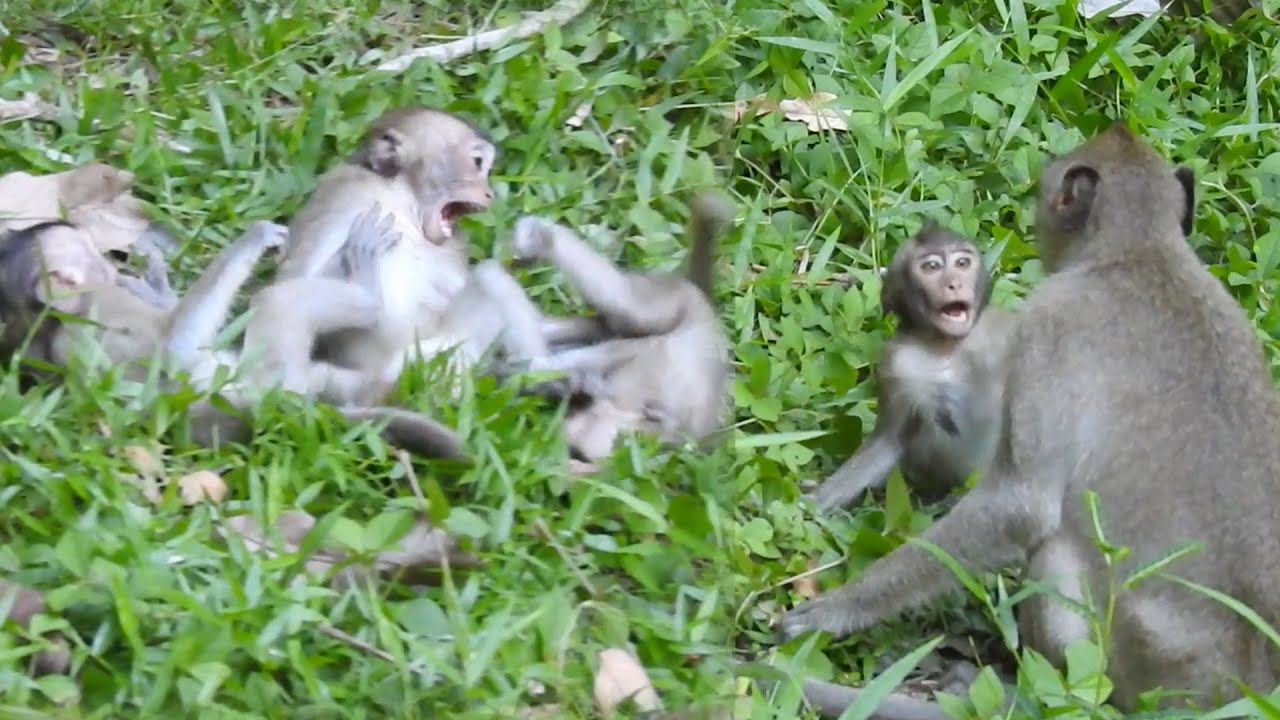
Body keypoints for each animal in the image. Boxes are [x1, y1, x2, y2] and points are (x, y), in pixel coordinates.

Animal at [490, 189, 736, 461]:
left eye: (577, 454)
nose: (564, 435)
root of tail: (702, 297)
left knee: (607, 322)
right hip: (671, 299)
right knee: (625, 308)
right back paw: (541, 237)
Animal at [808, 224, 1014, 512]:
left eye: (962, 263)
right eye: (932, 267)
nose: (955, 283)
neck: (945, 346)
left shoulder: (1005, 333)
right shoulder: (894, 363)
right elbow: (888, 442)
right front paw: (812, 503)